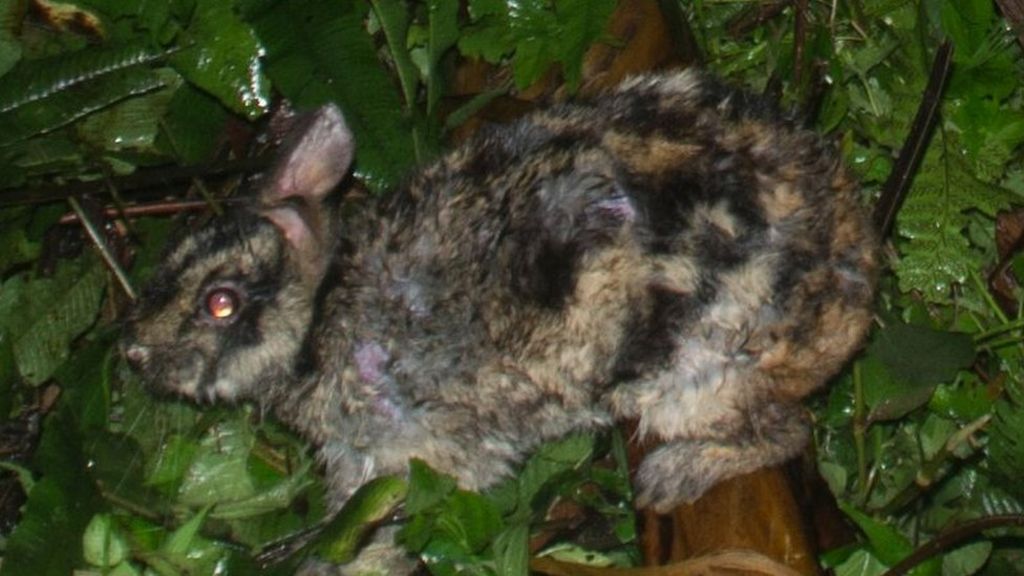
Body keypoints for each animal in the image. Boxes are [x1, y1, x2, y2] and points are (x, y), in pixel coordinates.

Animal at [122, 68, 877, 557]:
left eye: (220, 303)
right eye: (171, 262)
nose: (133, 352)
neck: (319, 319)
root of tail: (857, 276)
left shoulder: (404, 456)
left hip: (690, 374)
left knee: (786, 430)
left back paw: (671, 477)